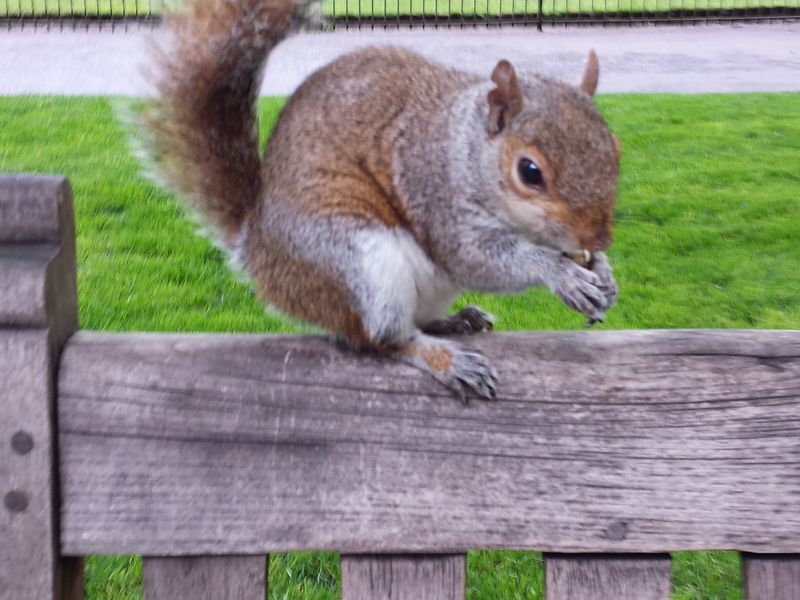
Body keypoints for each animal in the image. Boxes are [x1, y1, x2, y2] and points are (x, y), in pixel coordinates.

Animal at [144, 0, 620, 402]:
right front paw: (562, 274)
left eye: (614, 149)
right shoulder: (434, 192)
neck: (463, 147)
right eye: (529, 171)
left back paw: (454, 321)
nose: (598, 237)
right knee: (382, 339)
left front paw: (602, 272)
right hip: (357, 261)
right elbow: (475, 259)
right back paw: (447, 360)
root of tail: (259, 254)